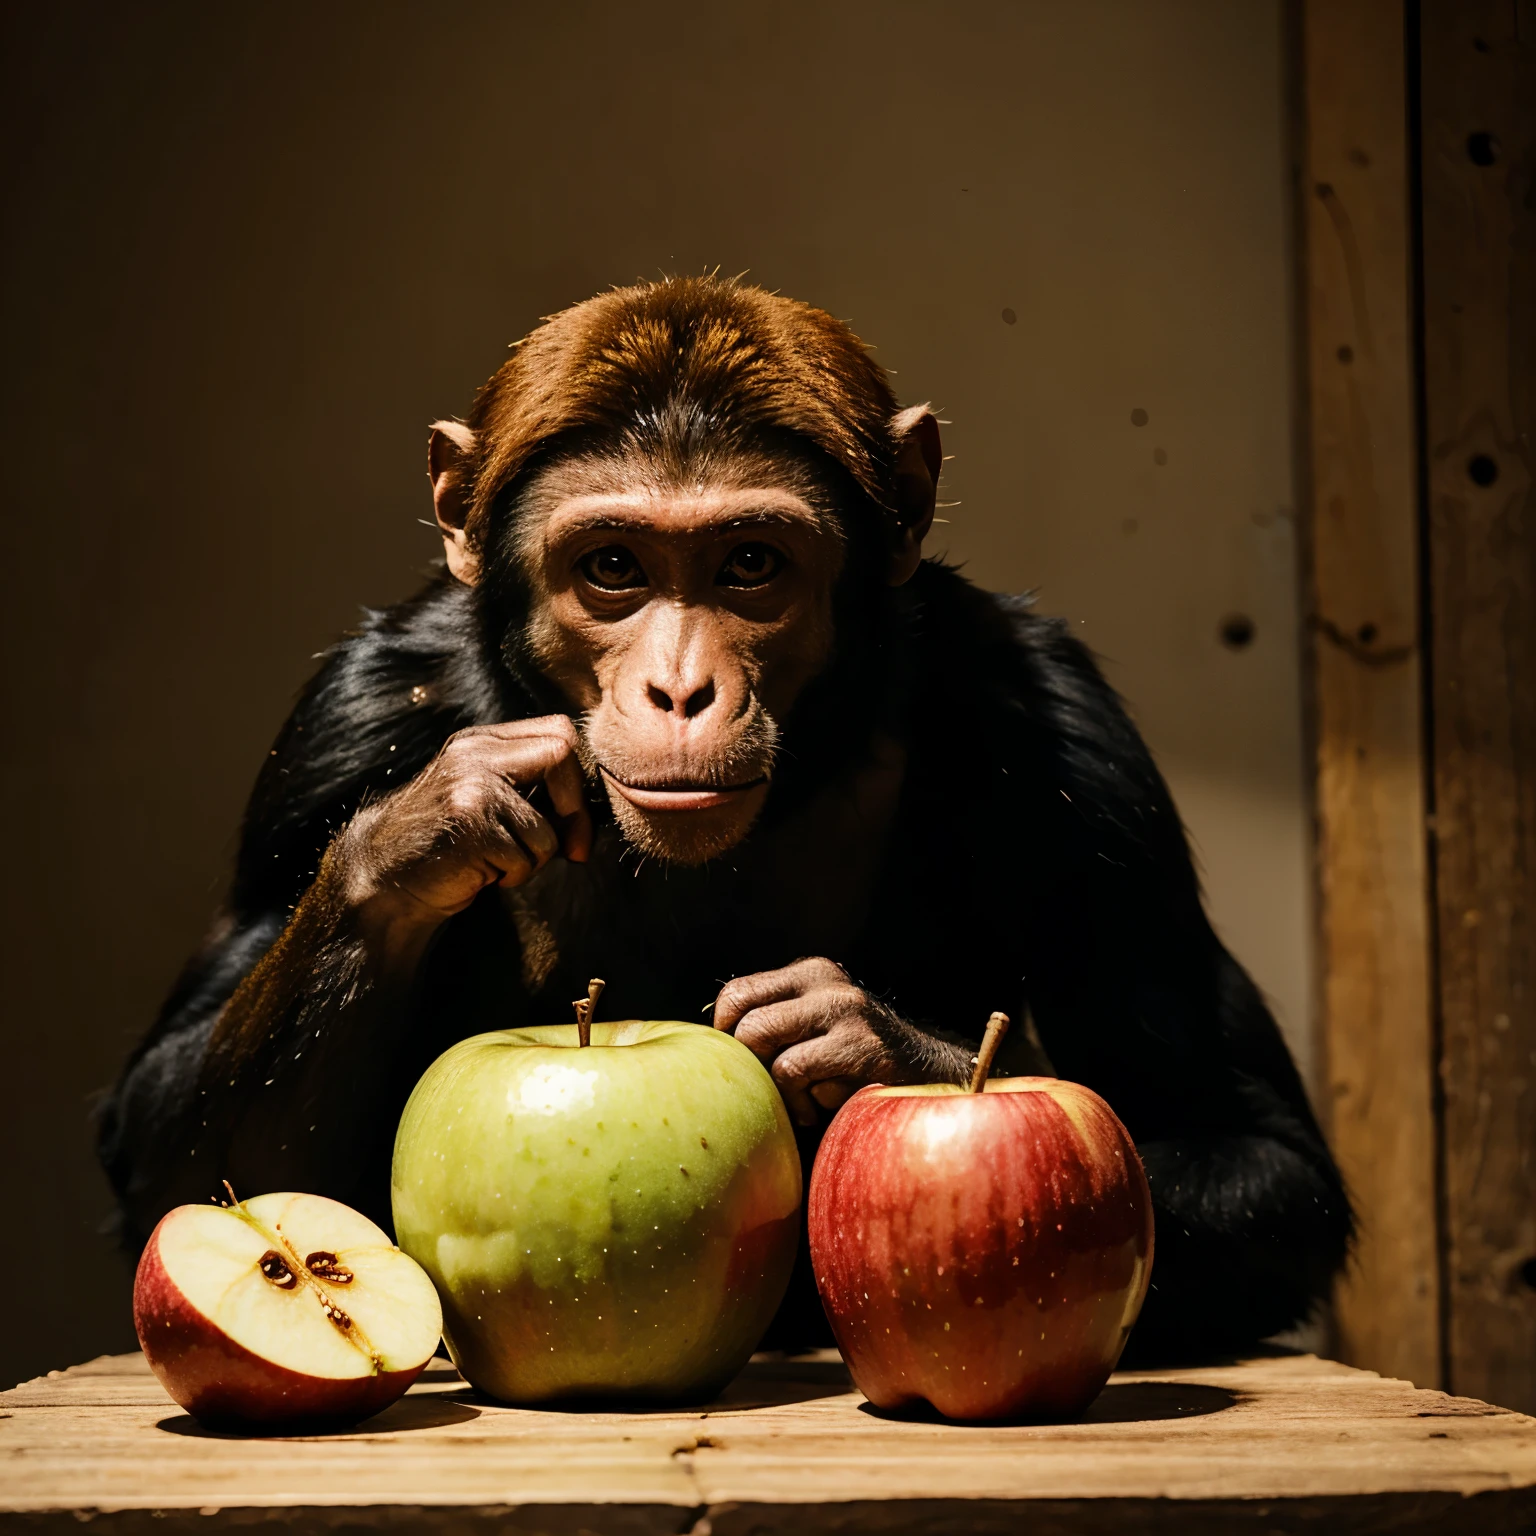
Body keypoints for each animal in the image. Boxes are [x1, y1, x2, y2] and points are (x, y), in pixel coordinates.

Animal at [99, 275, 1352, 1357]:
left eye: (751, 563)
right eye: (613, 567)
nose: (680, 688)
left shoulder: (1068, 731)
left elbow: (1255, 1150)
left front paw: (865, 1041)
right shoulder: (342, 722)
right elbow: (169, 1151)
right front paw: (427, 830)